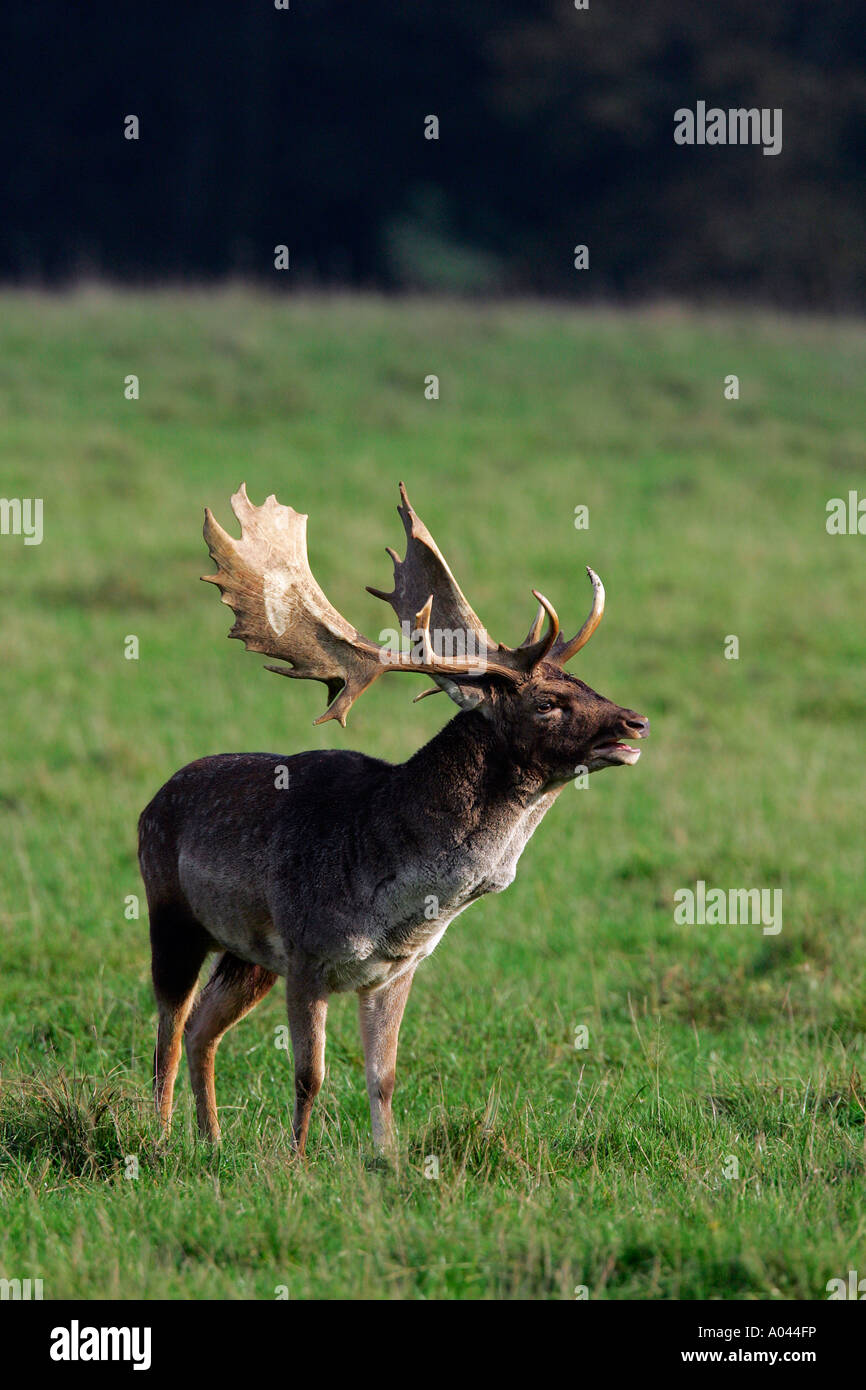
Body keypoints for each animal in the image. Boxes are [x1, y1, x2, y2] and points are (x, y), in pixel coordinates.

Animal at [138, 483, 649, 1154]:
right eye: (547, 701)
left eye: (582, 679)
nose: (635, 723)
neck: (394, 898)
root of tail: (149, 804)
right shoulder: (306, 953)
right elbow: (309, 1076)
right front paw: (296, 1161)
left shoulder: (391, 972)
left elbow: (382, 1078)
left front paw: (389, 1160)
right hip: (172, 916)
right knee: (167, 1034)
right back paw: (160, 1139)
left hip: (248, 956)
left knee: (202, 1029)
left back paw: (213, 1141)